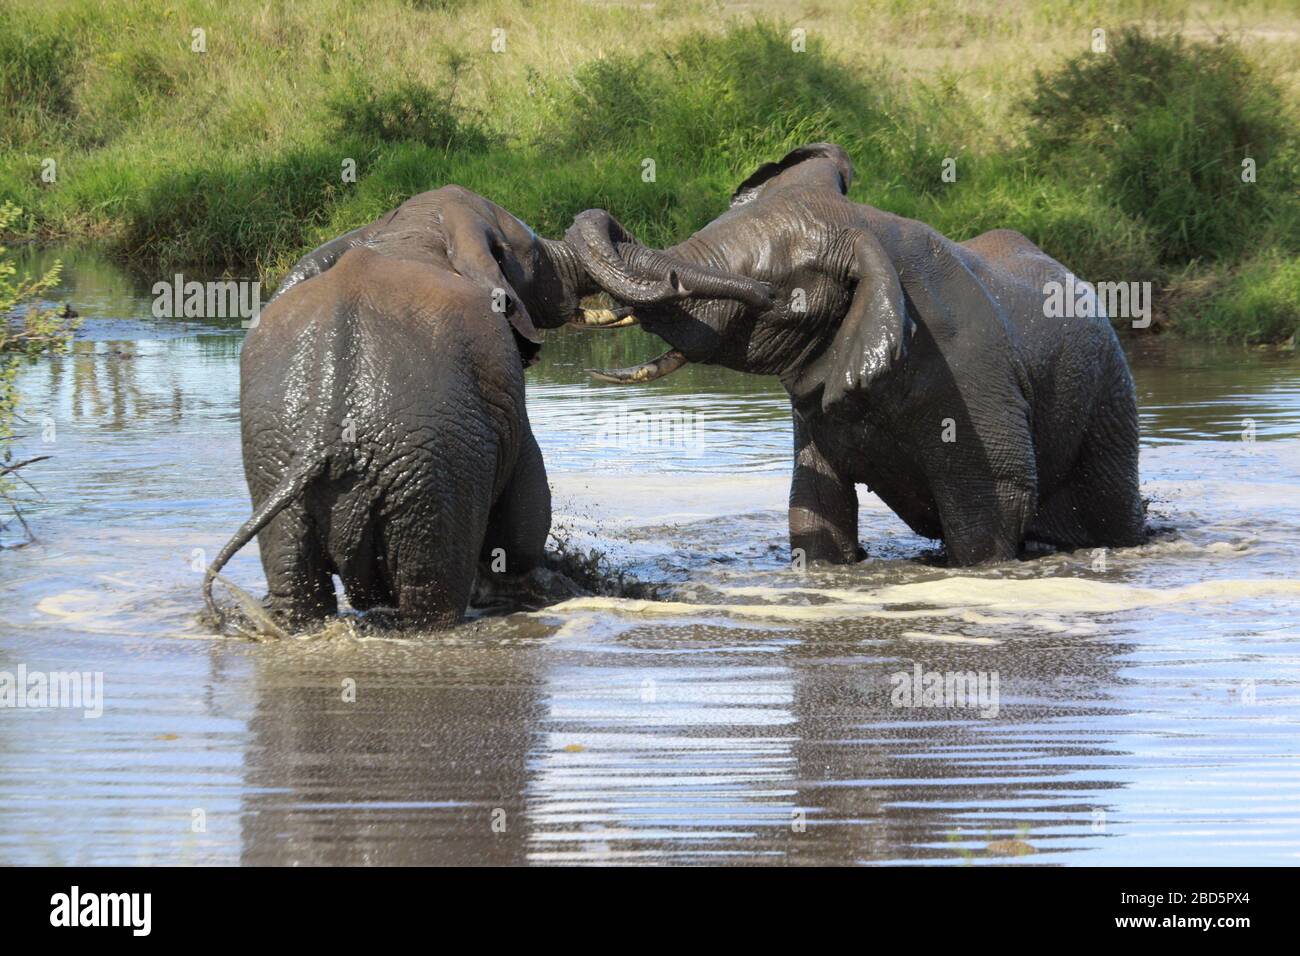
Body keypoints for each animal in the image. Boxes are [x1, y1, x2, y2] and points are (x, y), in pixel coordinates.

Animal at [203, 185, 761, 628]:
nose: (767, 292)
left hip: (278, 460)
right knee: (431, 595)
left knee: (296, 584)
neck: (406, 229)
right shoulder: (502, 391)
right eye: (535, 254)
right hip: (433, 471)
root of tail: (328, 432)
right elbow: (525, 507)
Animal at [565, 143, 1147, 566]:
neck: (868, 229)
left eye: (767, 288)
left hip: (1110, 399)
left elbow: (995, 509)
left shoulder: (974, 385)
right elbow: (815, 509)